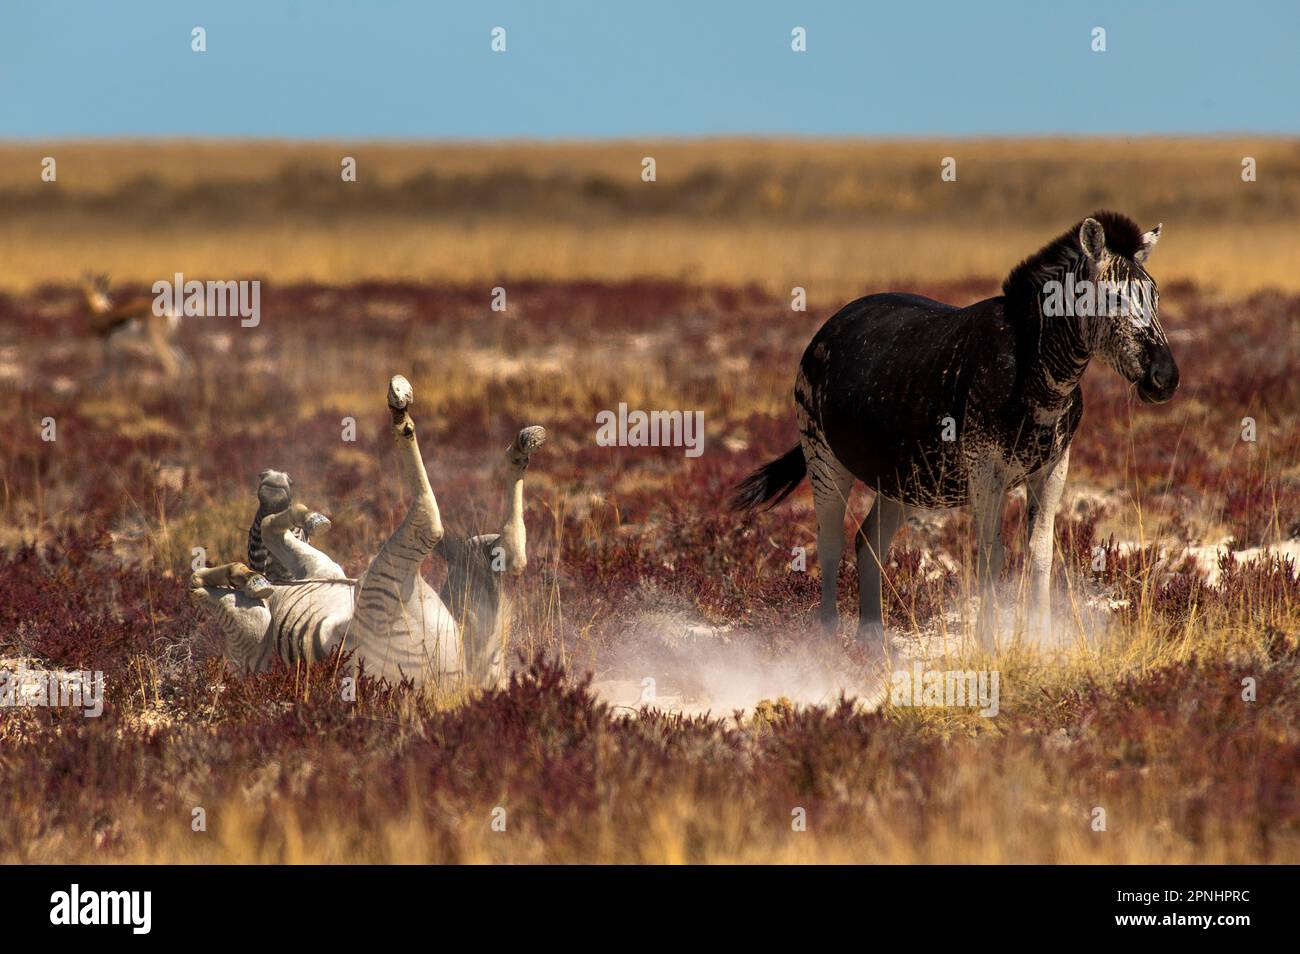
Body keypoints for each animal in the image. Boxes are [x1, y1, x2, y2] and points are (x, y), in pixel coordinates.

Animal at [189, 375, 547, 689]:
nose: (271, 478)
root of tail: (456, 686)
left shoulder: (321, 566)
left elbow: (271, 531)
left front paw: (302, 519)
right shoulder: (253, 622)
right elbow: (210, 575)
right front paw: (244, 572)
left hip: (476, 630)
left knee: (502, 552)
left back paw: (521, 448)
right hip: (389, 586)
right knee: (433, 521)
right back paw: (400, 403)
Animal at [731, 211, 1178, 651]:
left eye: (1155, 297)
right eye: (1113, 298)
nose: (1166, 378)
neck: (1041, 376)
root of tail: (834, 320)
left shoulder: (1054, 468)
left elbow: (1041, 554)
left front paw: (1041, 641)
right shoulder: (984, 469)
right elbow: (990, 556)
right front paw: (988, 644)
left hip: (900, 477)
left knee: (868, 541)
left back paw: (872, 645)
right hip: (823, 456)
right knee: (829, 542)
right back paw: (826, 643)